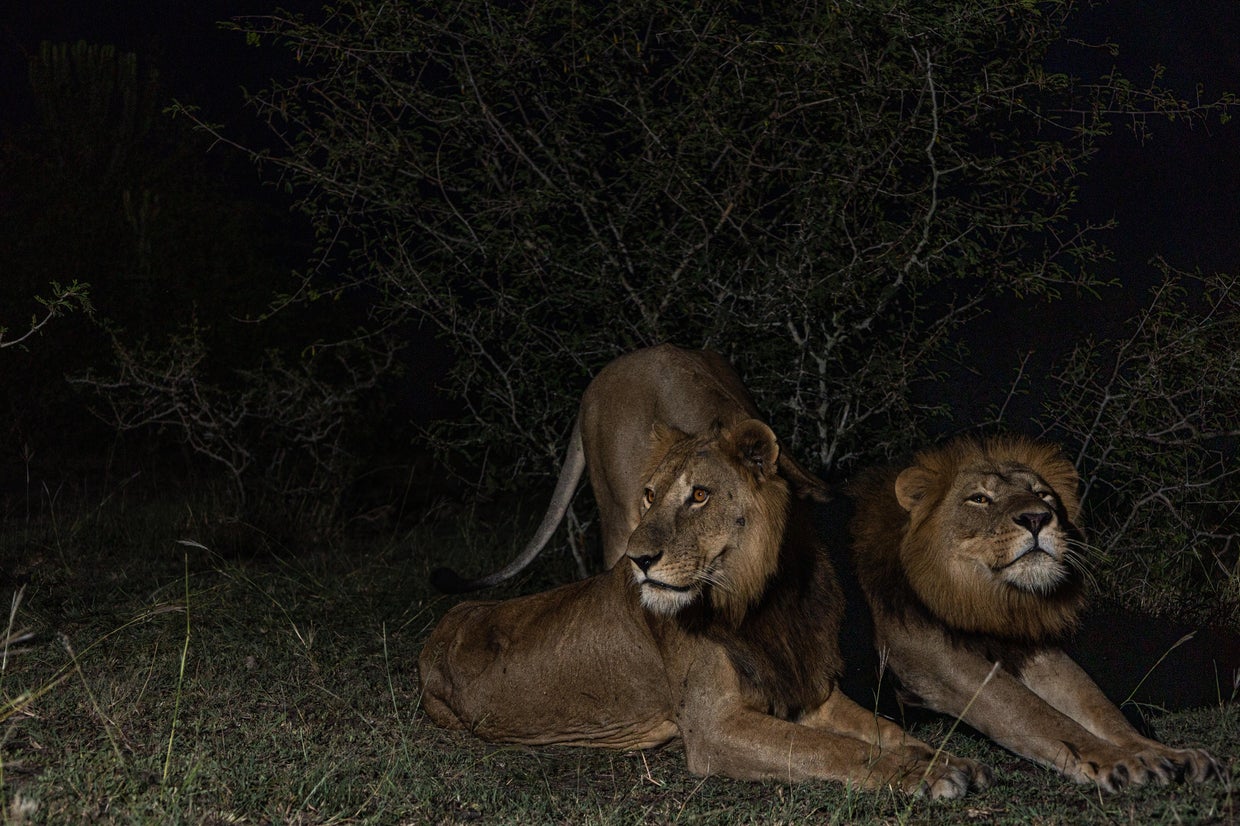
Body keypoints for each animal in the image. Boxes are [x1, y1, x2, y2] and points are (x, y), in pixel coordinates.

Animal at [419, 419, 991, 797]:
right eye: (649, 496)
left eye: (699, 495)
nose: (637, 559)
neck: (761, 601)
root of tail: (441, 626)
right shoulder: (715, 728)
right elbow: (830, 748)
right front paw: (925, 774)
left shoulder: (805, 690)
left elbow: (884, 729)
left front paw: (944, 758)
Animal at [847, 435, 1222, 792]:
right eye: (979, 499)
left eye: (1042, 494)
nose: (1037, 517)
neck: (985, 598)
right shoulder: (934, 656)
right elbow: (1036, 714)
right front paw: (1118, 761)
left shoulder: (1027, 646)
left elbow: (1100, 710)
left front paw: (1162, 753)